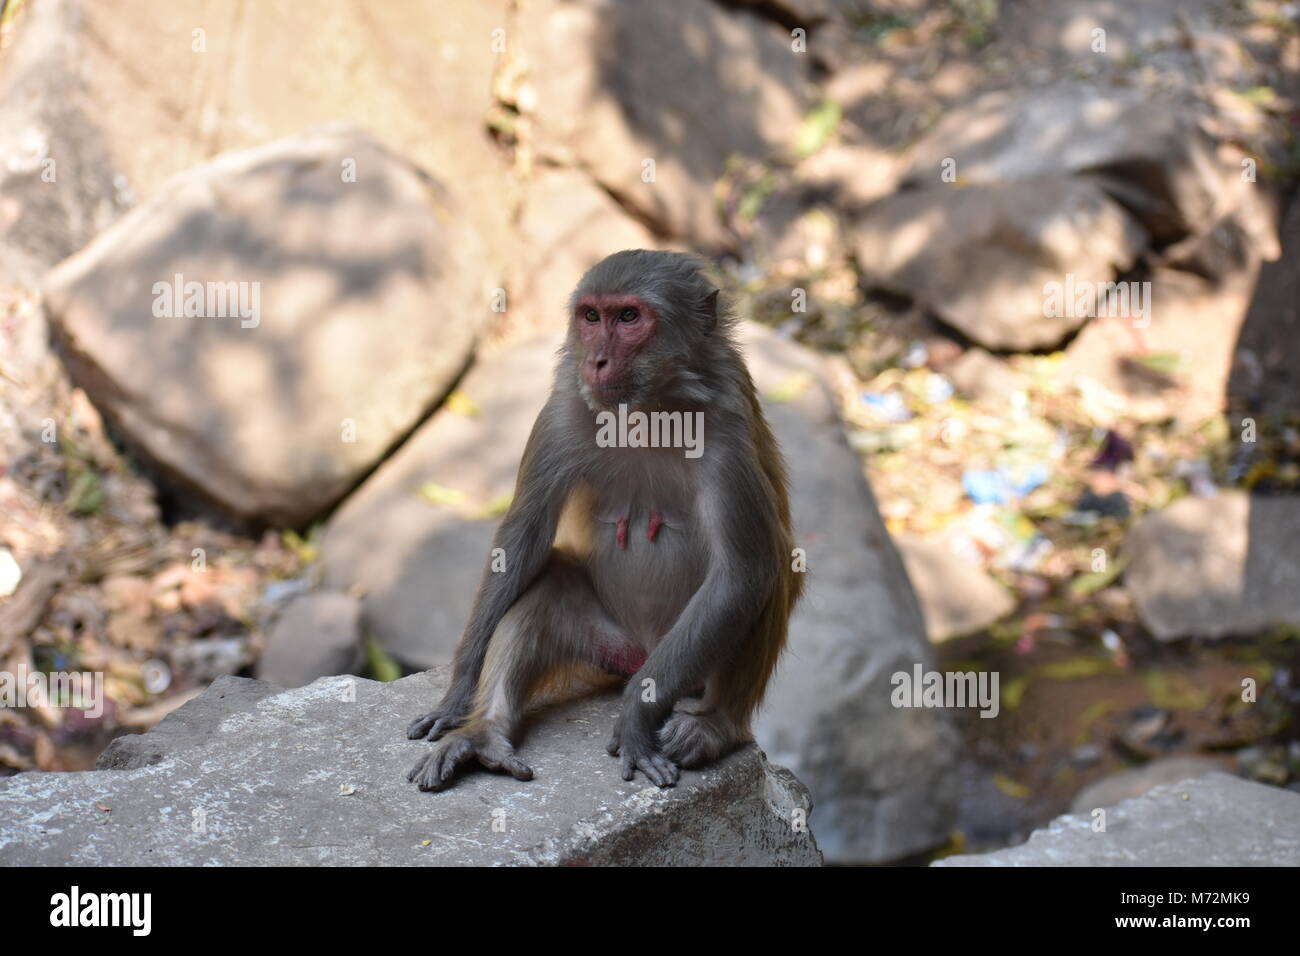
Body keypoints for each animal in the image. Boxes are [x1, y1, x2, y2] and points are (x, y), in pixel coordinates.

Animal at [406, 249, 802, 791]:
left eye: (629, 317)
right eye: (591, 317)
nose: (595, 360)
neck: (650, 410)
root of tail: (640, 652)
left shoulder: (725, 435)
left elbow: (742, 574)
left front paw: (636, 717)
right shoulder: (562, 413)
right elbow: (522, 540)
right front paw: (458, 692)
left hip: (681, 666)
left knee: (769, 573)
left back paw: (714, 726)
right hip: (608, 644)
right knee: (551, 580)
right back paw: (486, 732)